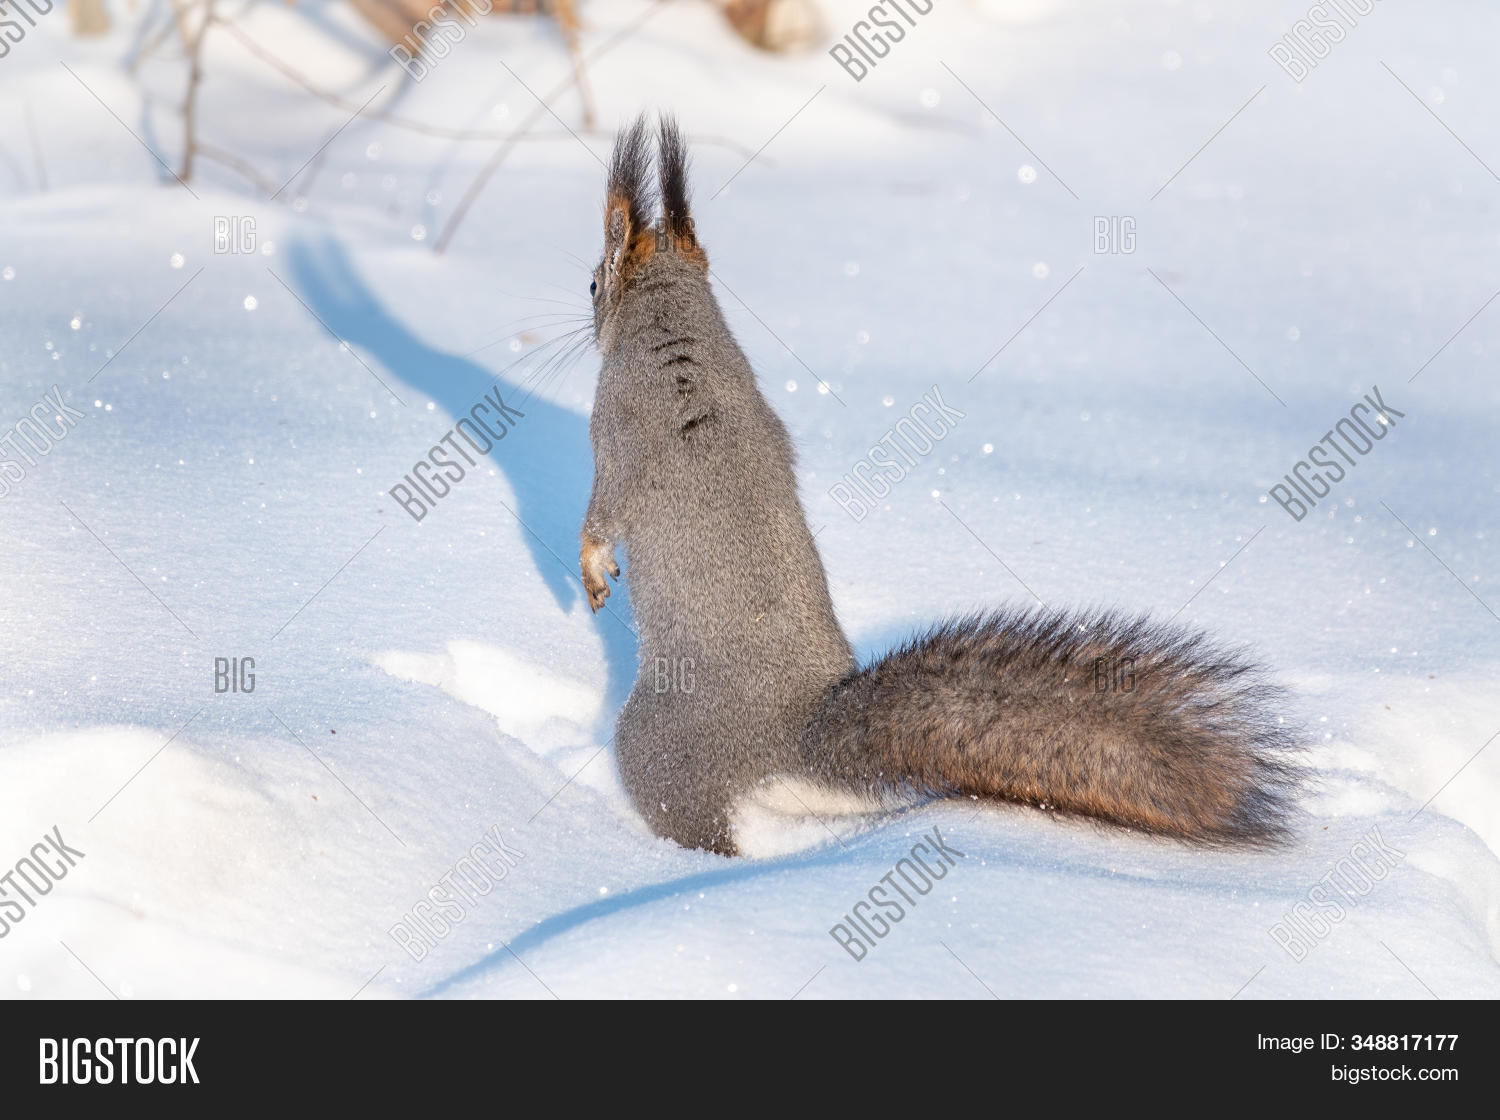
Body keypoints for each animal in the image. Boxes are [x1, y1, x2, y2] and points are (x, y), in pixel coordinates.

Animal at [580, 115, 1301, 856]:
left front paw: (593, 569)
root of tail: (792, 739)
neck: (679, 327)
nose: (587, 314)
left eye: (592, 285)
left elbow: (604, 513)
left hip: (659, 753)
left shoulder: (617, 431)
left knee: (697, 823)